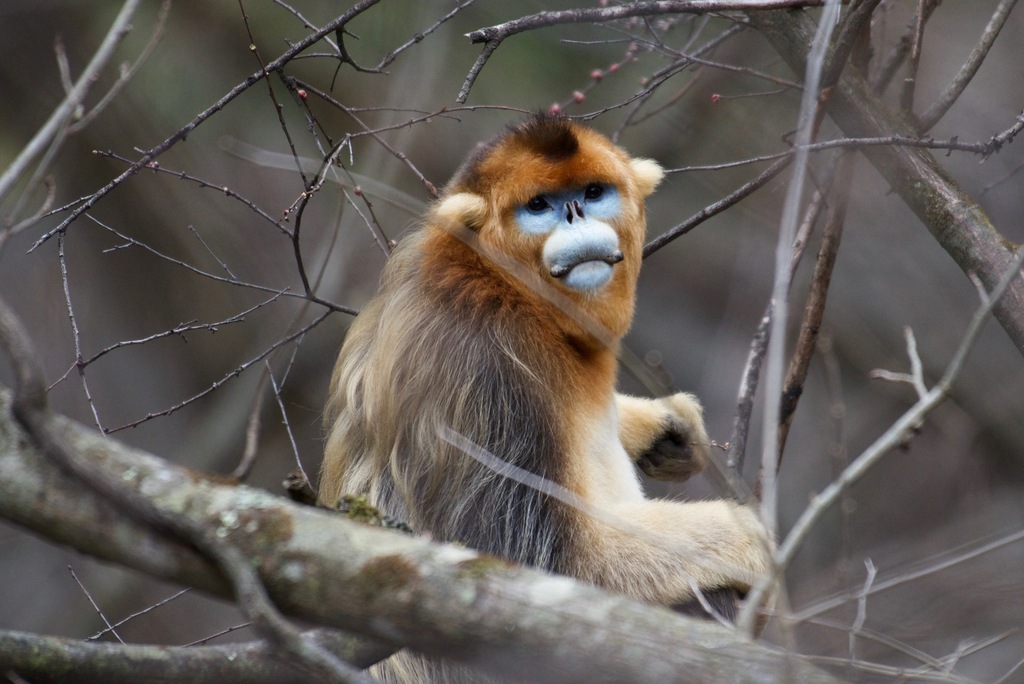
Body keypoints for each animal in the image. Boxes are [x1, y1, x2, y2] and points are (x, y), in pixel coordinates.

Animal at [320, 115, 772, 681]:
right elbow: (547, 565)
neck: (503, 285)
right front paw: (746, 535)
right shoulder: (489, 373)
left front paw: (663, 426)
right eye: (539, 205)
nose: (574, 214)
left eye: (593, 192)